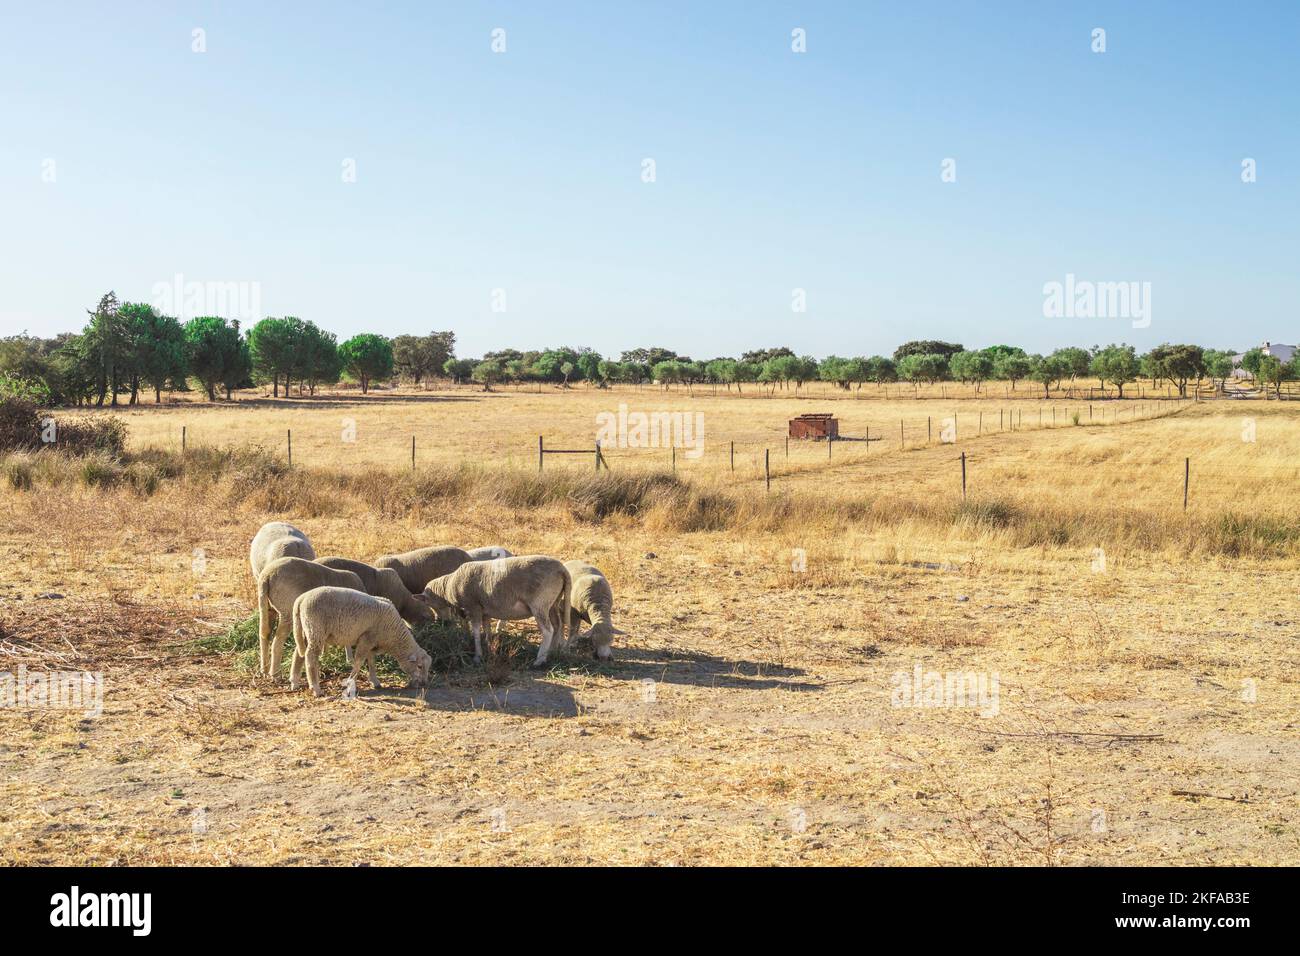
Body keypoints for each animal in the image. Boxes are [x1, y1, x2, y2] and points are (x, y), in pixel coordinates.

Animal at [289, 586, 432, 697]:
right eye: (419, 666)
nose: (424, 684)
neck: (393, 636)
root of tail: (301, 599)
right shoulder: (367, 638)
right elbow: (359, 662)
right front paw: (350, 683)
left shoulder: (371, 642)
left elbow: (371, 661)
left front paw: (375, 681)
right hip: (315, 629)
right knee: (310, 656)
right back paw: (316, 688)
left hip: (306, 629)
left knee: (299, 653)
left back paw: (295, 682)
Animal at [422, 555, 570, 667]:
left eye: (429, 603)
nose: (439, 622)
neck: (448, 586)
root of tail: (562, 569)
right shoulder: (485, 611)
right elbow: (487, 628)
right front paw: (489, 646)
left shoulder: (474, 607)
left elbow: (476, 632)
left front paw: (478, 656)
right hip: (553, 603)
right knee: (558, 626)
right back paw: (553, 652)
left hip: (539, 603)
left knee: (548, 630)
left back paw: (540, 660)